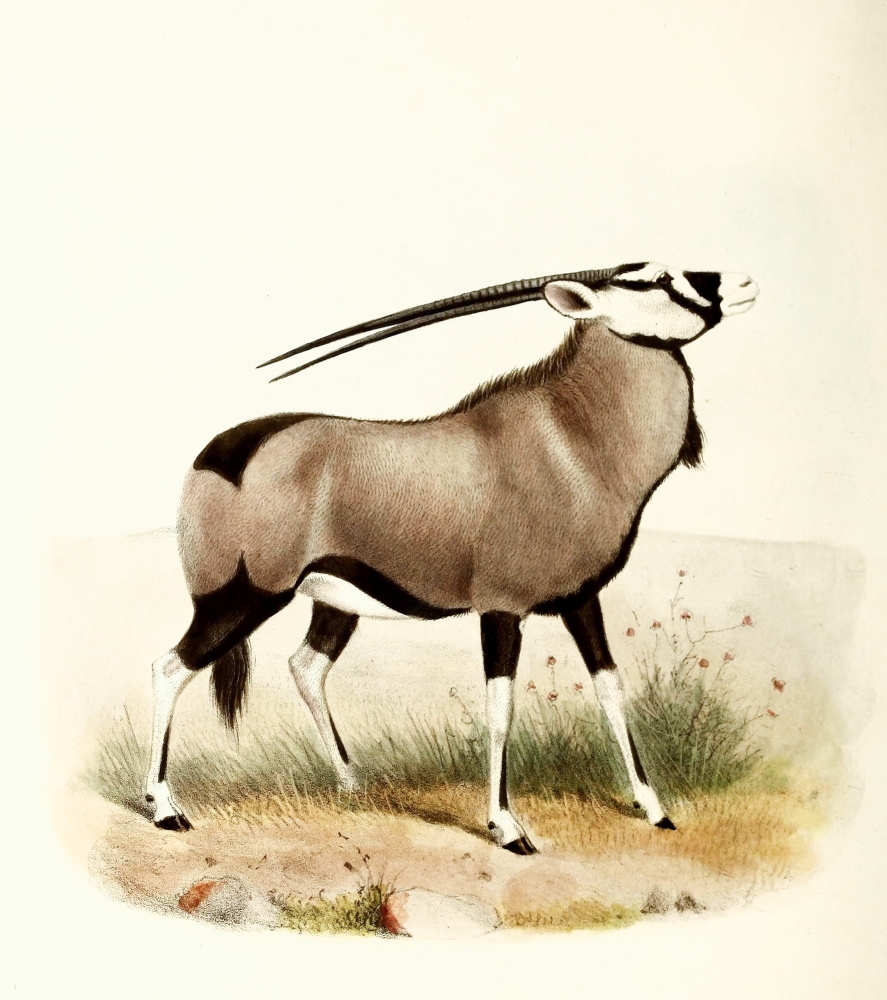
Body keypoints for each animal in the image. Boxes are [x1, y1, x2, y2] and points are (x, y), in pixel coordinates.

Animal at [146, 261, 759, 854]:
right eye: (654, 279)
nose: (739, 282)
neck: (572, 436)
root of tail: (218, 455)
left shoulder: (581, 600)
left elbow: (610, 690)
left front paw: (654, 809)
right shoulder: (502, 609)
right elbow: (500, 708)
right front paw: (507, 828)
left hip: (332, 602)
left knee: (306, 665)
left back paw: (351, 783)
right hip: (243, 595)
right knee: (170, 667)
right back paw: (164, 807)